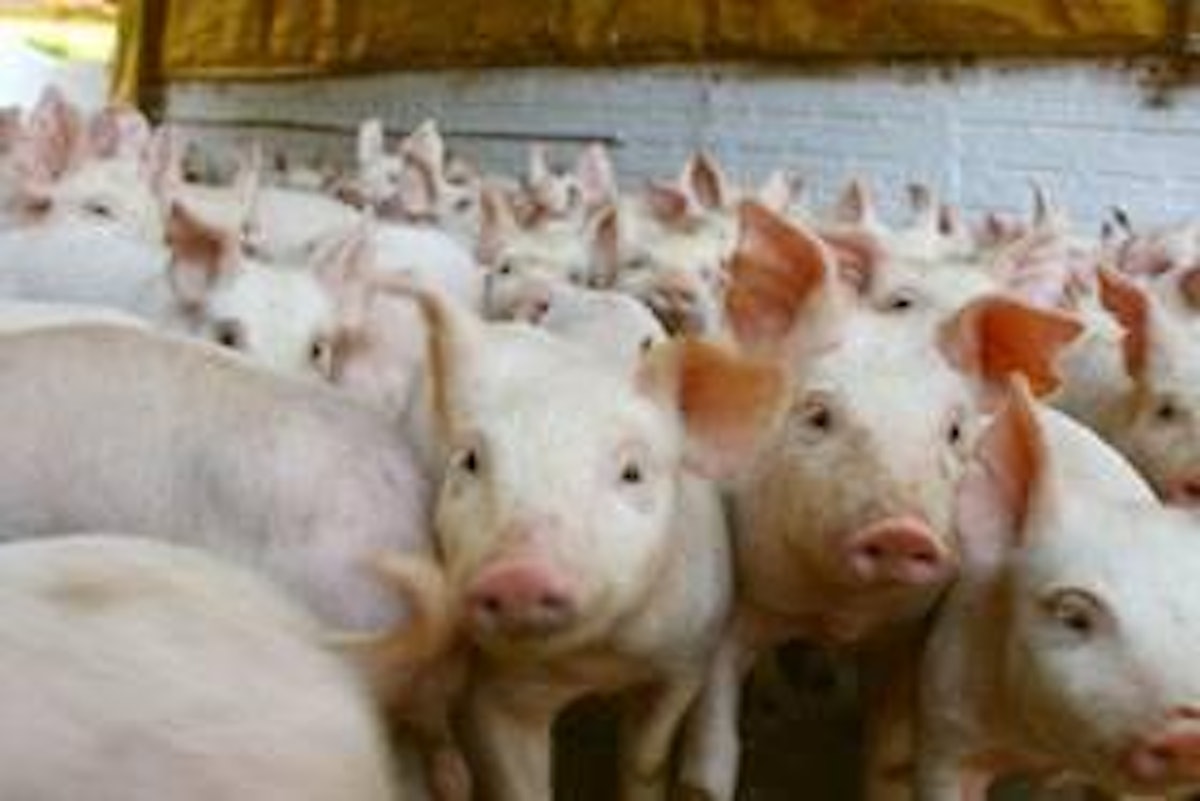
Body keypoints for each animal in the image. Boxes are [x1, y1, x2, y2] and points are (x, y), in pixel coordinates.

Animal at [407, 289, 785, 801]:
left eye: (632, 472)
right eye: (469, 461)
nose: (518, 575)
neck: (600, 659)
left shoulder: (688, 657)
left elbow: (646, 759)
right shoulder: (491, 691)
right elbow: (518, 784)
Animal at [678, 201, 1084, 801]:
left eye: (955, 431)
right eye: (817, 415)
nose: (900, 532)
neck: (841, 612)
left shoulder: (907, 633)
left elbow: (891, 756)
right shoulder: (735, 606)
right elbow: (709, 754)